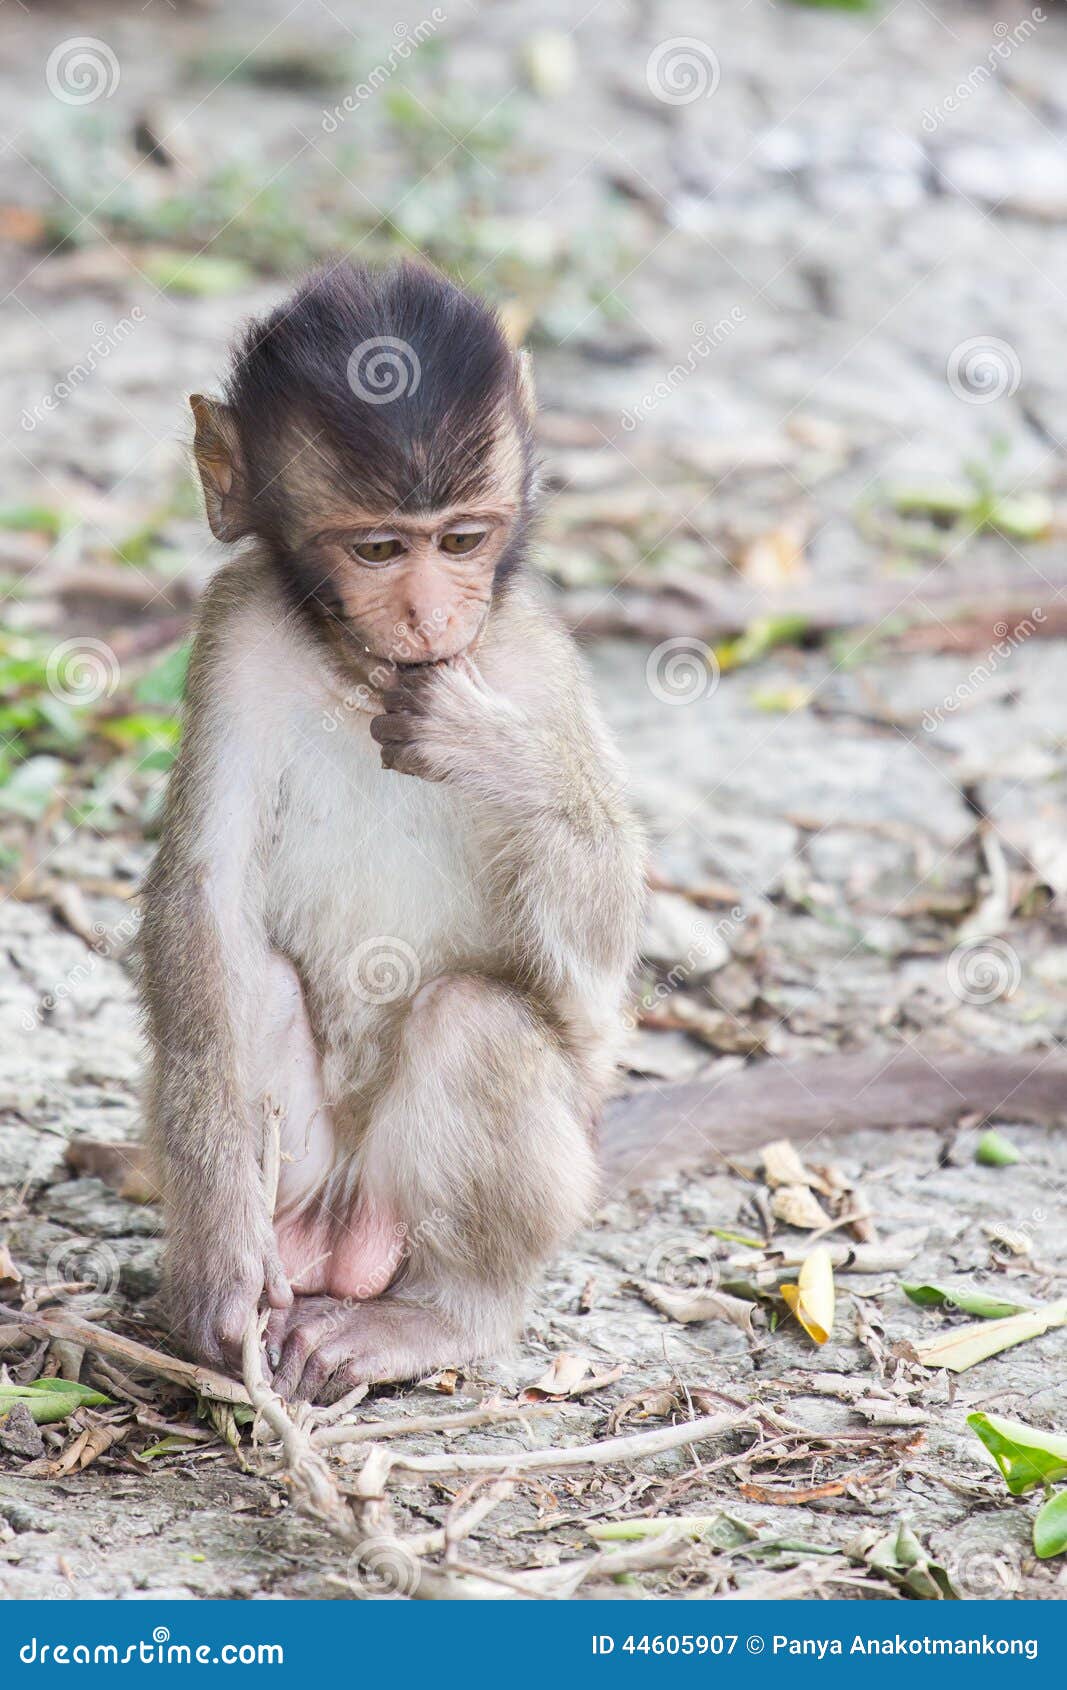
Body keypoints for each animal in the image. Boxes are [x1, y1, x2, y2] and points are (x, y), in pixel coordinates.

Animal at [138, 259, 647, 1401]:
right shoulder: (234, 628)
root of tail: (343, 1228)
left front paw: (490, 751)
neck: (356, 674)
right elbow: (204, 890)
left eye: (460, 540)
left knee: (477, 1020)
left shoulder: (534, 661)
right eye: (378, 549)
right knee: (247, 978)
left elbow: (594, 966)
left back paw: (446, 1315)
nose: (428, 616)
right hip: (307, 1169)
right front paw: (218, 1255)